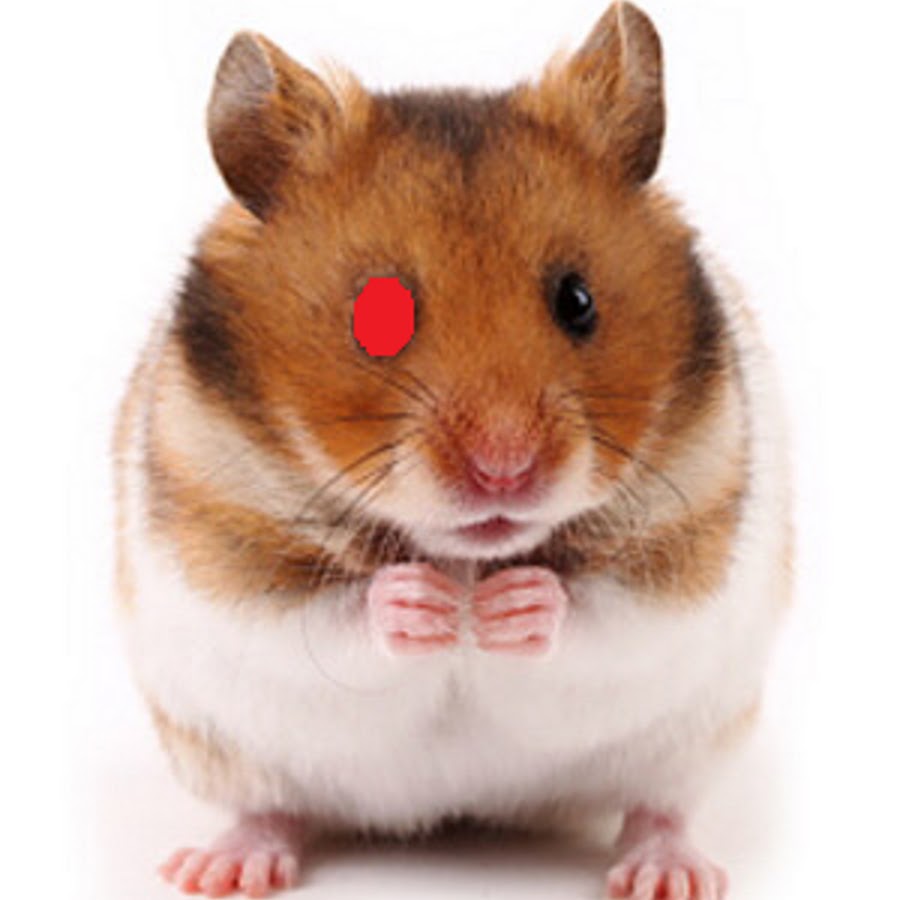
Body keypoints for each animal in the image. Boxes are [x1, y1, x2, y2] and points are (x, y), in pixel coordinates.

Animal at [113, 3, 791, 898]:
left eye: (577, 300)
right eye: (376, 313)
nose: (506, 470)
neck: (467, 554)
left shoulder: (686, 563)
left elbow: (595, 615)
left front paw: (505, 608)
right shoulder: (223, 565)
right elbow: (334, 616)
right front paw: (431, 604)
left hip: (698, 739)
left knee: (659, 808)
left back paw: (668, 876)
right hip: (220, 748)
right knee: (268, 807)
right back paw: (220, 869)